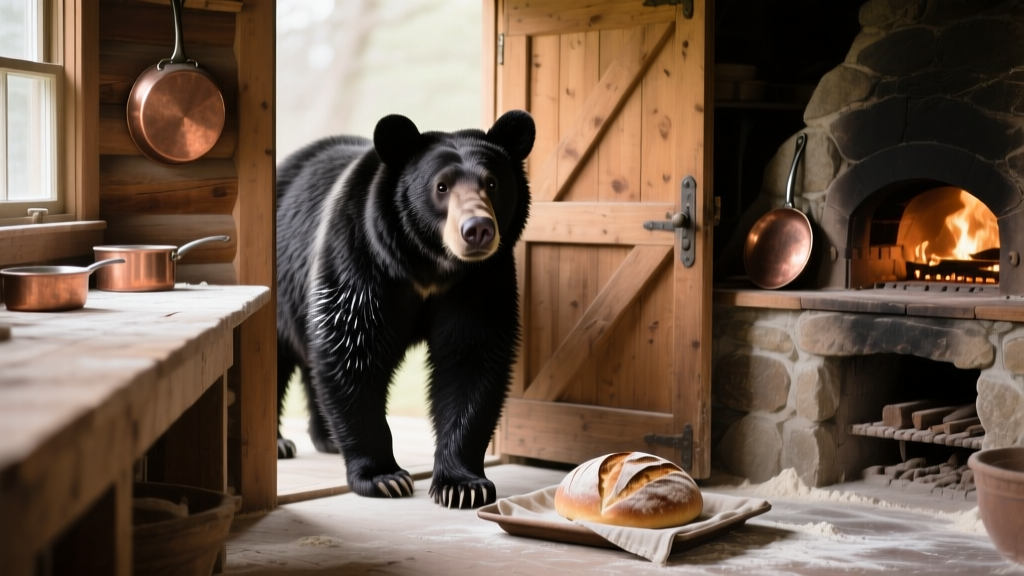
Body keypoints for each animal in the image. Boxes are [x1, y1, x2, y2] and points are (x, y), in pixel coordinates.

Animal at [275, 110, 535, 509]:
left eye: (492, 183)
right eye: (441, 187)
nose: (477, 230)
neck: (428, 266)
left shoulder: (481, 281)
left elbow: (471, 360)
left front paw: (463, 485)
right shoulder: (360, 261)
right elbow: (353, 351)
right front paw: (384, 477)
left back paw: (328, 437)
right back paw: (281, 443)